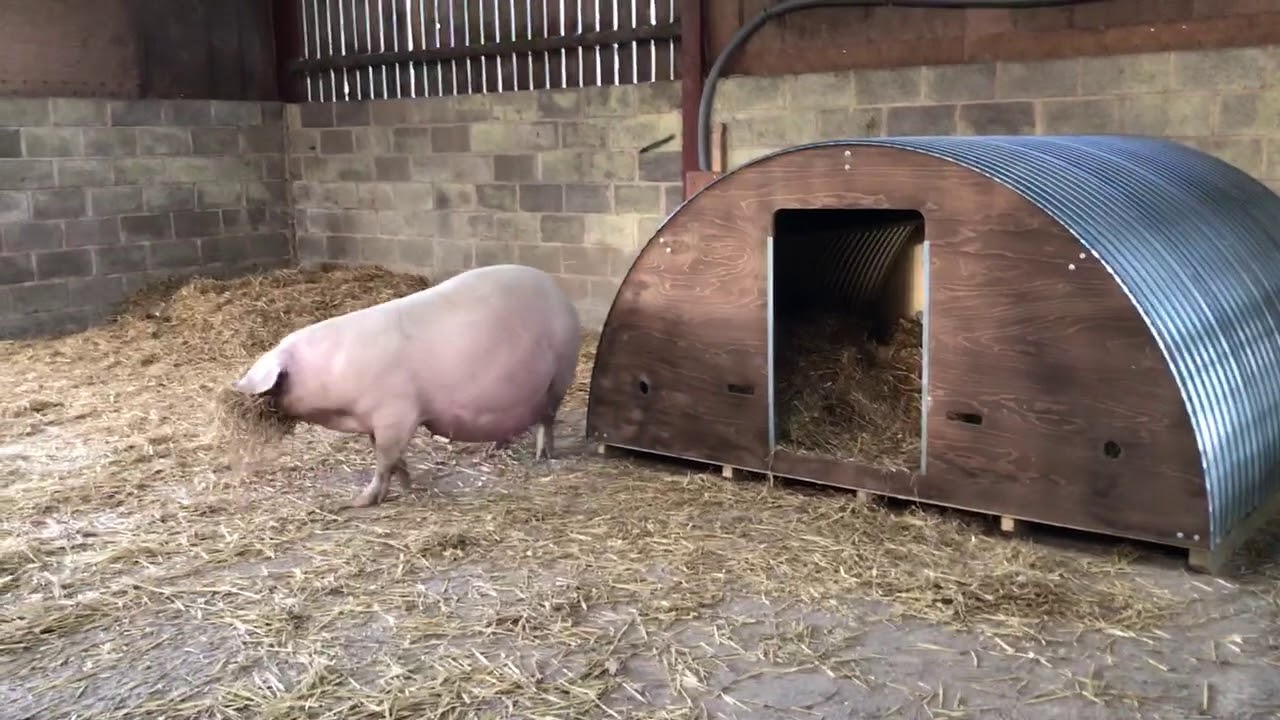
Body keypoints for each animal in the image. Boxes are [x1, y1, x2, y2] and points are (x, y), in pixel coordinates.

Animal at [229, 263, 582, 507]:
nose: (236, 389)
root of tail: (559, 293)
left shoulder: (395, 413)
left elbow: (384, 459)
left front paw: (359, 502)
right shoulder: (376, 422)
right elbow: (392, 458)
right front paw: (407, 487)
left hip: (559, 375)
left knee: (547, 419)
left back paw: (542, 456)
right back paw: (491, 452)